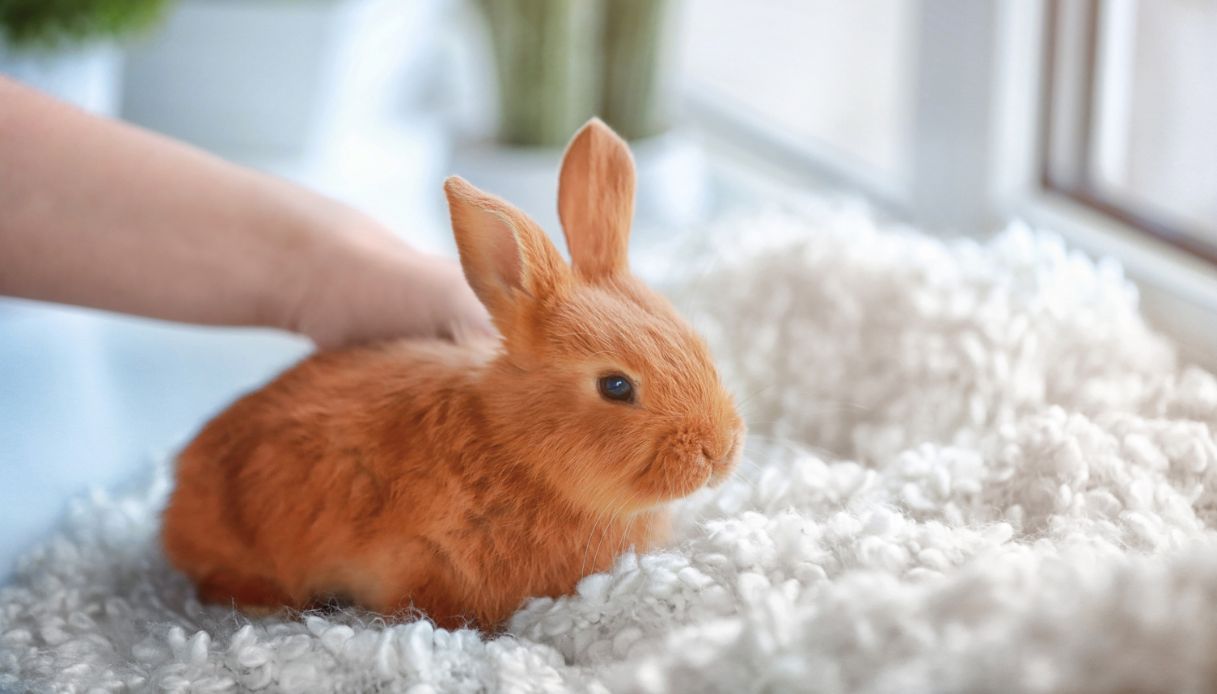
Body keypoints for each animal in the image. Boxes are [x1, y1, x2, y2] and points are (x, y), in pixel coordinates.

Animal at [161, 119, 745, 631]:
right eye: (616, 386)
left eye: (699, 345)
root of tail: (177, 496)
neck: (517, 450)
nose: (718, 451)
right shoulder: (426, 557)